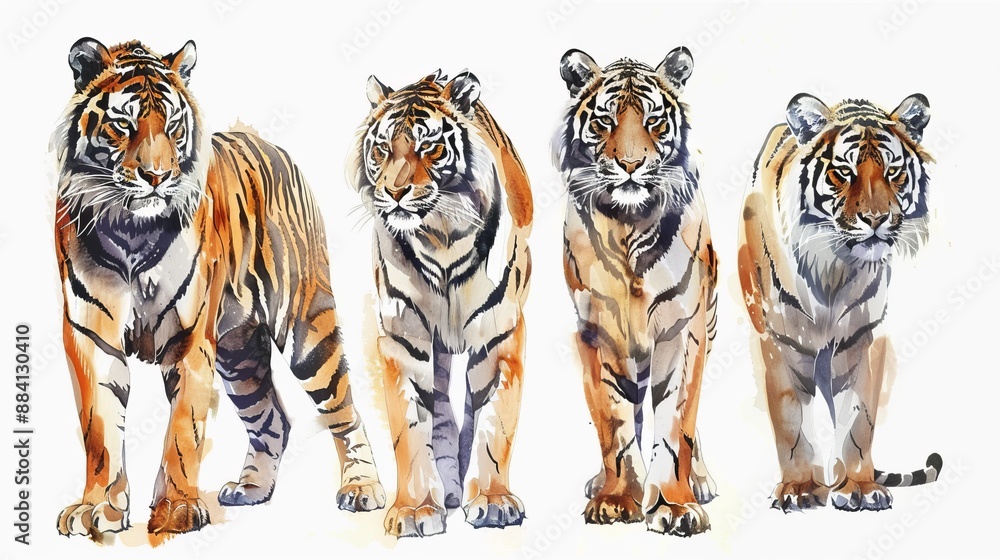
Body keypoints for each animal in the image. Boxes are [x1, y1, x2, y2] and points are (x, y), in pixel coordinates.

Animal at [51, 38, 384, 538]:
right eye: (123, 123)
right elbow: (101, 430)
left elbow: (183, 429)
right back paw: (250, 488)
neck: (132, 232)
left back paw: (363, 489)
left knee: (344, 408)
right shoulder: (90, 335)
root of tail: (267, 142)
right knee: (273, 419)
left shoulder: (190, 340)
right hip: (239, 352)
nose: (156, 176)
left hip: (307, 330)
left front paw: (176, 508)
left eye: (172, 125)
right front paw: (98, 509)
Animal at [347, 70, 532, 537]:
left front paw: (492, 501)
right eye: (381, 148)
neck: (441, 235)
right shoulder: (404, 338)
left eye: (428, 146)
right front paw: (415, 509)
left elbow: (492, 425)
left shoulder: (498, 337)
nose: (395, 192)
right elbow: (412, 429)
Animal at [553, 48, 719, 537]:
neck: (629, 224)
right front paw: (618, 498)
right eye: (605, 121)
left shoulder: (683, 330)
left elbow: (677, 421)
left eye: (654, 120)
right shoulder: (597, 332)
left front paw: (675, 505)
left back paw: (700, 481)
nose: (630, 165)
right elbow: (614, 422)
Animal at [737, 93, 943, 513]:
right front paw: (799, 488)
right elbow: (790, 419)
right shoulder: (776, 339)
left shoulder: (862, 338)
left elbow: (858, 420)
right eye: (844, 172)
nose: (877, 219)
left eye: (893, 171)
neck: (833, 268)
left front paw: (859, 487)